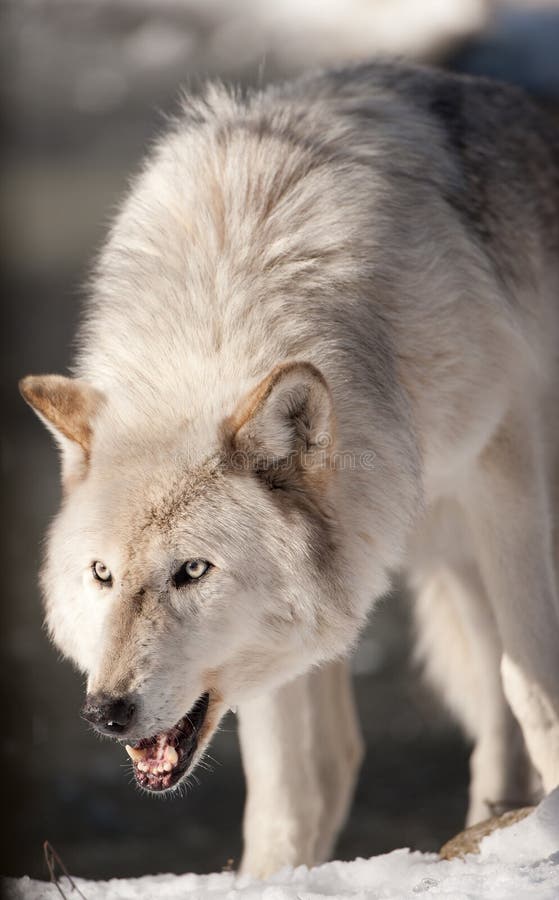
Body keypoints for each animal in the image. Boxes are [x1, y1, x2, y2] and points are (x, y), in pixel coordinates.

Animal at [20, 61, 559, 878]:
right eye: (102, 575)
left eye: (193, 571)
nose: (105, 712)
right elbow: (289, 789)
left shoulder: (503, 458)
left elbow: (533, 685)